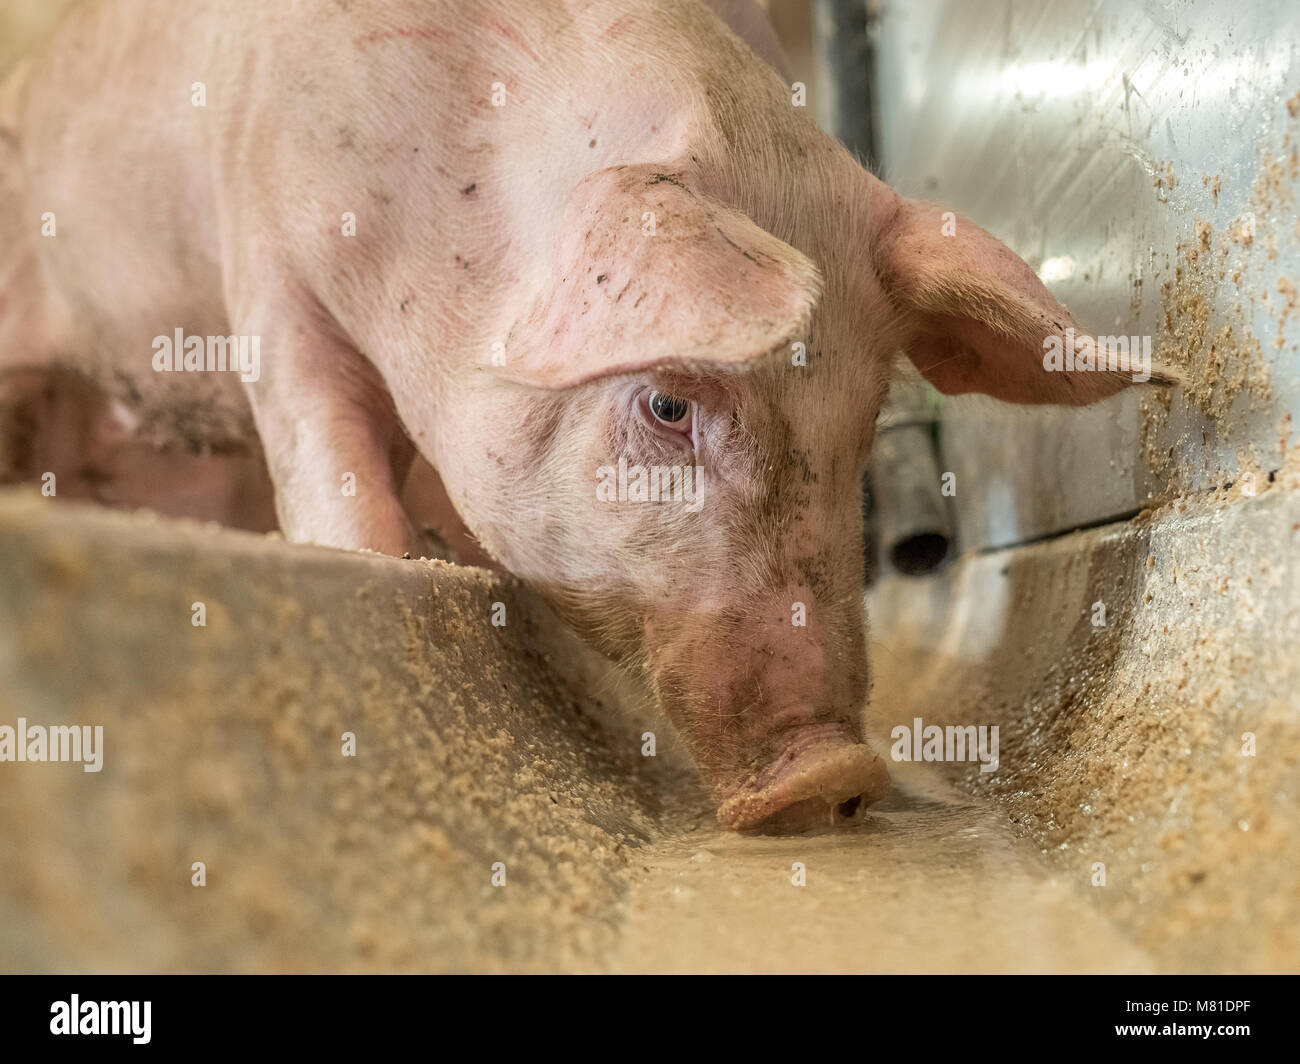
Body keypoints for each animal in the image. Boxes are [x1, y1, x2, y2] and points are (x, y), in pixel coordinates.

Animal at [0, 0, 1174, 830]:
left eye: (864, 414)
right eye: (667, 402)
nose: (835, 770)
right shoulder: (265, 255)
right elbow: (325, 450)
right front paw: (390, 561)